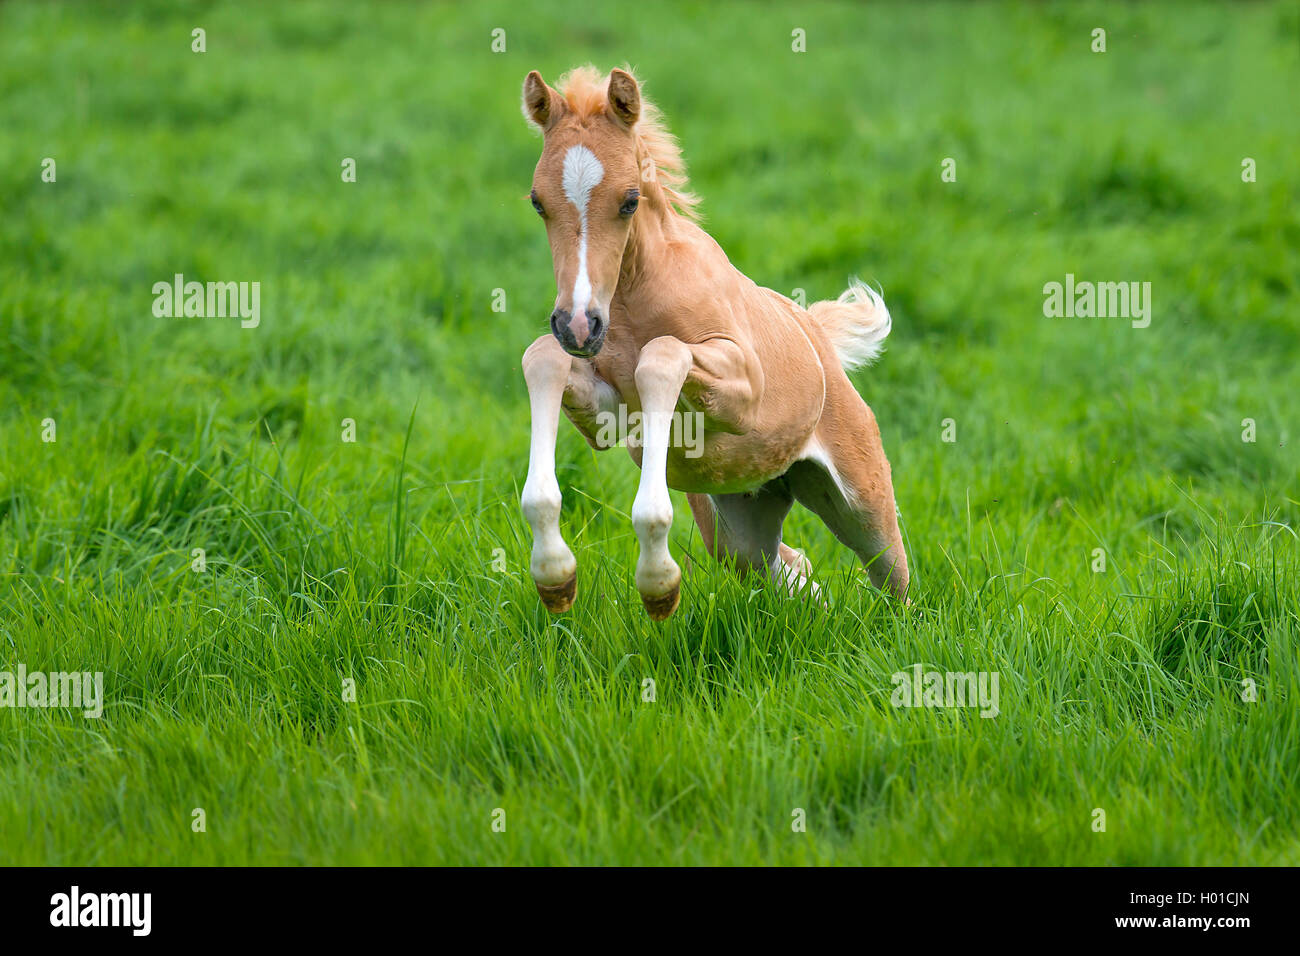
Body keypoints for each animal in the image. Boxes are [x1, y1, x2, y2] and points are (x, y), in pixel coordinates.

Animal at [518, 66, 910, 621]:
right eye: (538, 202)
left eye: (629, 199)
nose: (578, 324)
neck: (635, 297)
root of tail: (817, 336)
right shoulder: (605, 416)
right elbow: (542, 358)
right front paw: (555, 578)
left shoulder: (741, 387)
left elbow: (661, 357)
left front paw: (658, 586)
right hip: (739, 532)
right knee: (792, 566)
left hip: (862, 505)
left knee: (892, 577)